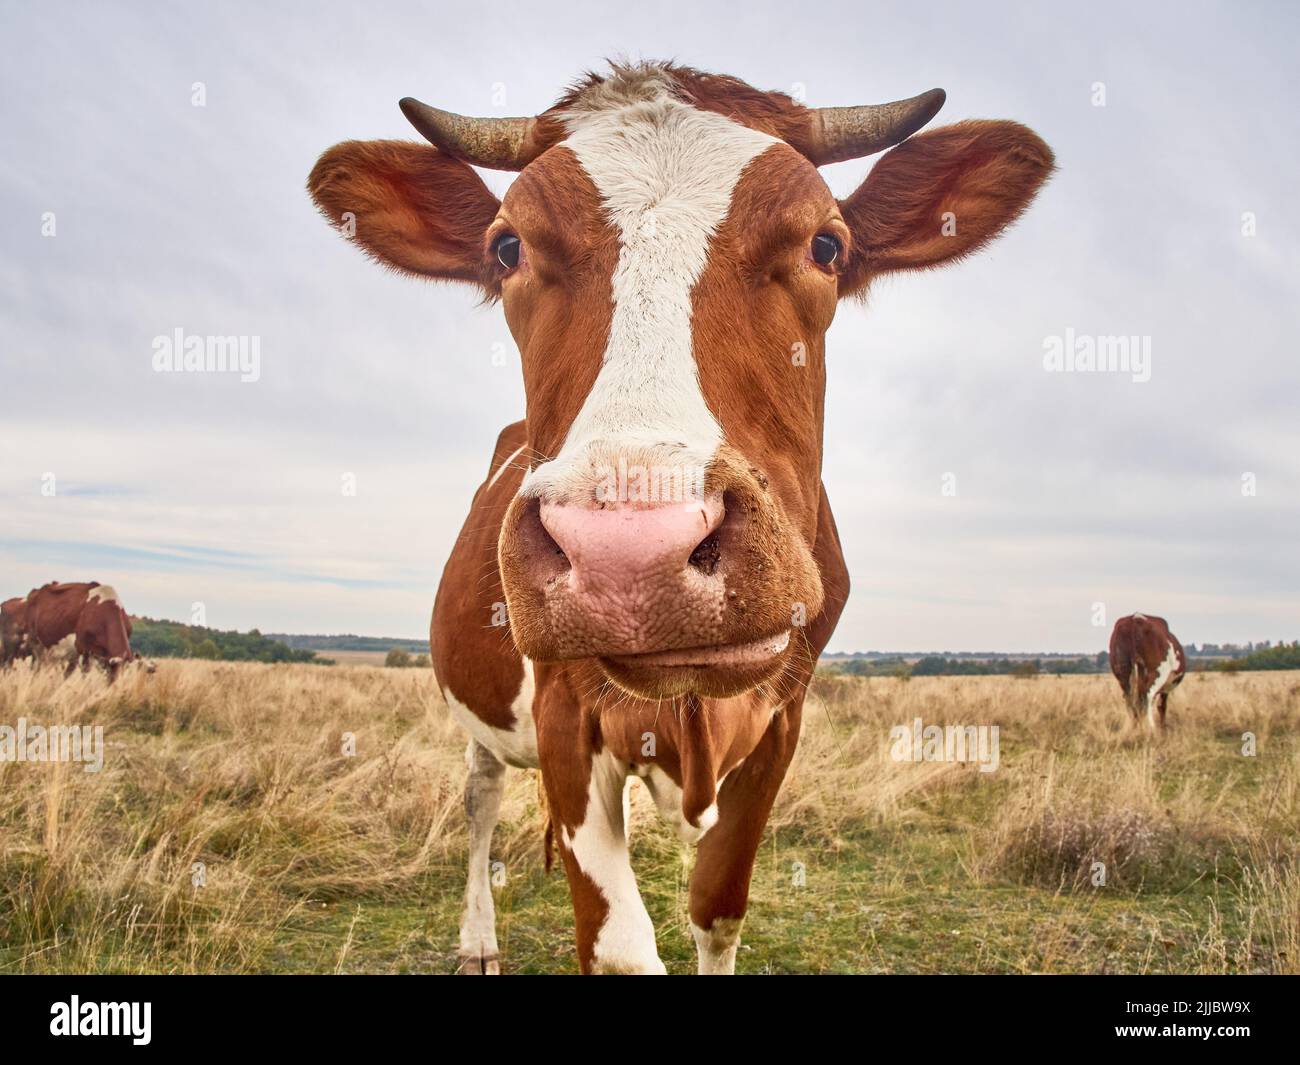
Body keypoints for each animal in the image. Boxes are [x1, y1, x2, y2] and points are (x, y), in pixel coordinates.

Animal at [309, 61, 1053, 974]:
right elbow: (623, 945)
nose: (630, 554)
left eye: (827, 245)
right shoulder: (562, 719)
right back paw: (478, 937)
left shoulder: (780, 723)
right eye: (507, 247)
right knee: (480, 797)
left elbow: (717, 906)